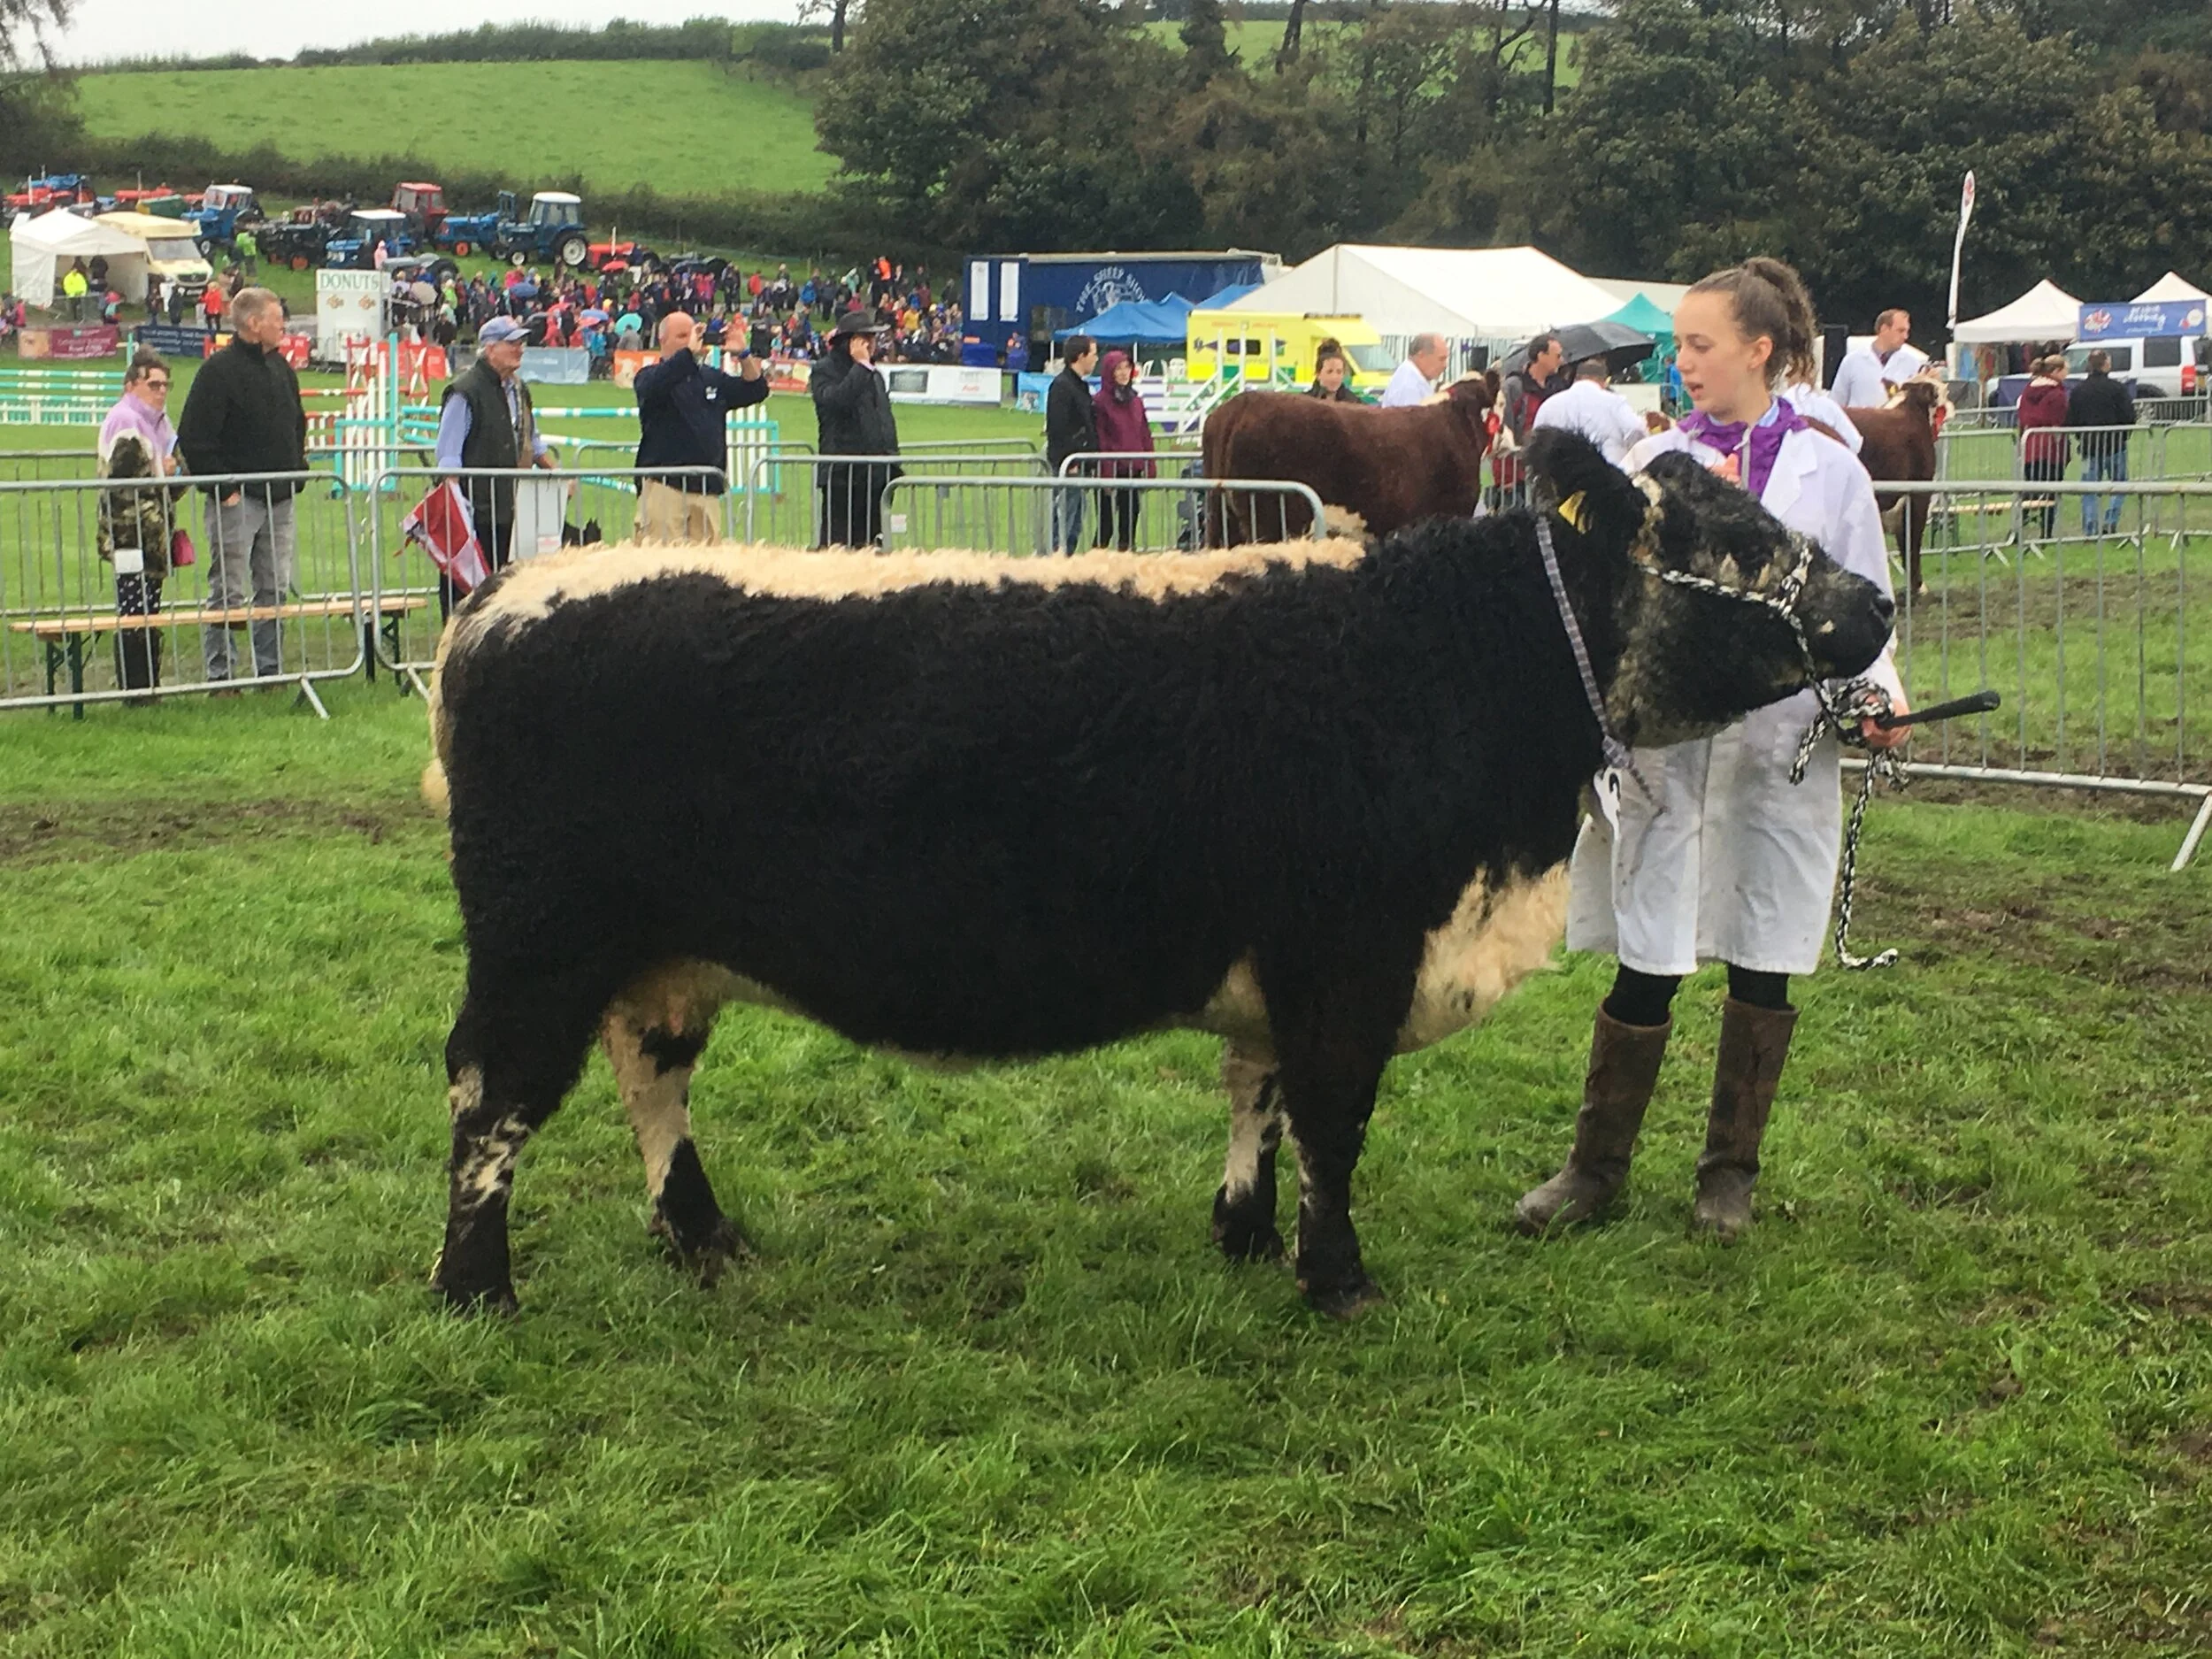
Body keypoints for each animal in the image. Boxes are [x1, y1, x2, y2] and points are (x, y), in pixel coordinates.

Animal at [422, 431, 1895, 1321]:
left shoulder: (1285, 959)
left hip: (655, 951)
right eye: (1730, 538)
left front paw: (1242, 1233)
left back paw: (702, 1234)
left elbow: (1258, 1093)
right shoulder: (1351, 952)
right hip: (540, 941)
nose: (1875, 604)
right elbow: (1334, 1118)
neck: (1440, 659)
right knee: (493, 1092)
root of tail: (509, 594)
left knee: (650, 1072)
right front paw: (1337, 1278)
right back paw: (475, 1283)